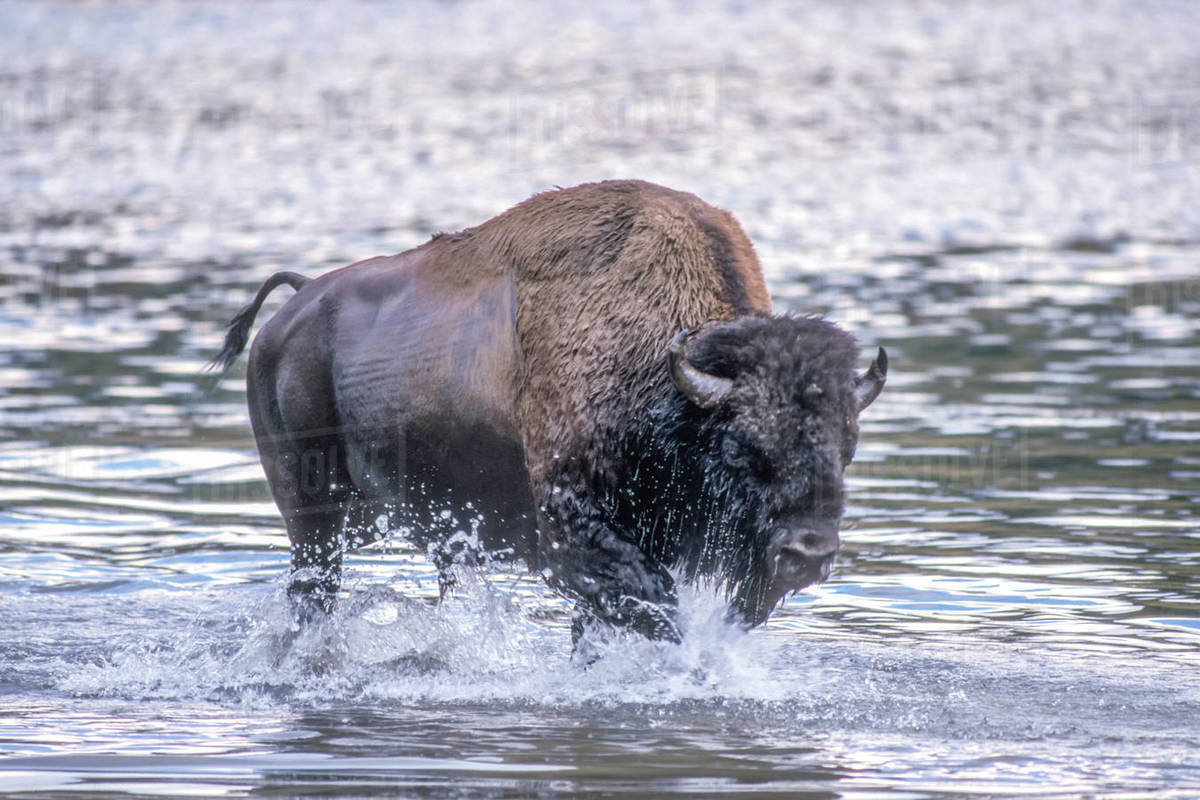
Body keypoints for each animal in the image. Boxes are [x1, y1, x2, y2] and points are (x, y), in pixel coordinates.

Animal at [211, 179, 886, 642]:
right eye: (743, 447)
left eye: (847, 448)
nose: (809, 551)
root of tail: (298, 304)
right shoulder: (572, 532)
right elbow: (654, 609)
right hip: (312, 516)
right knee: (312, 587)